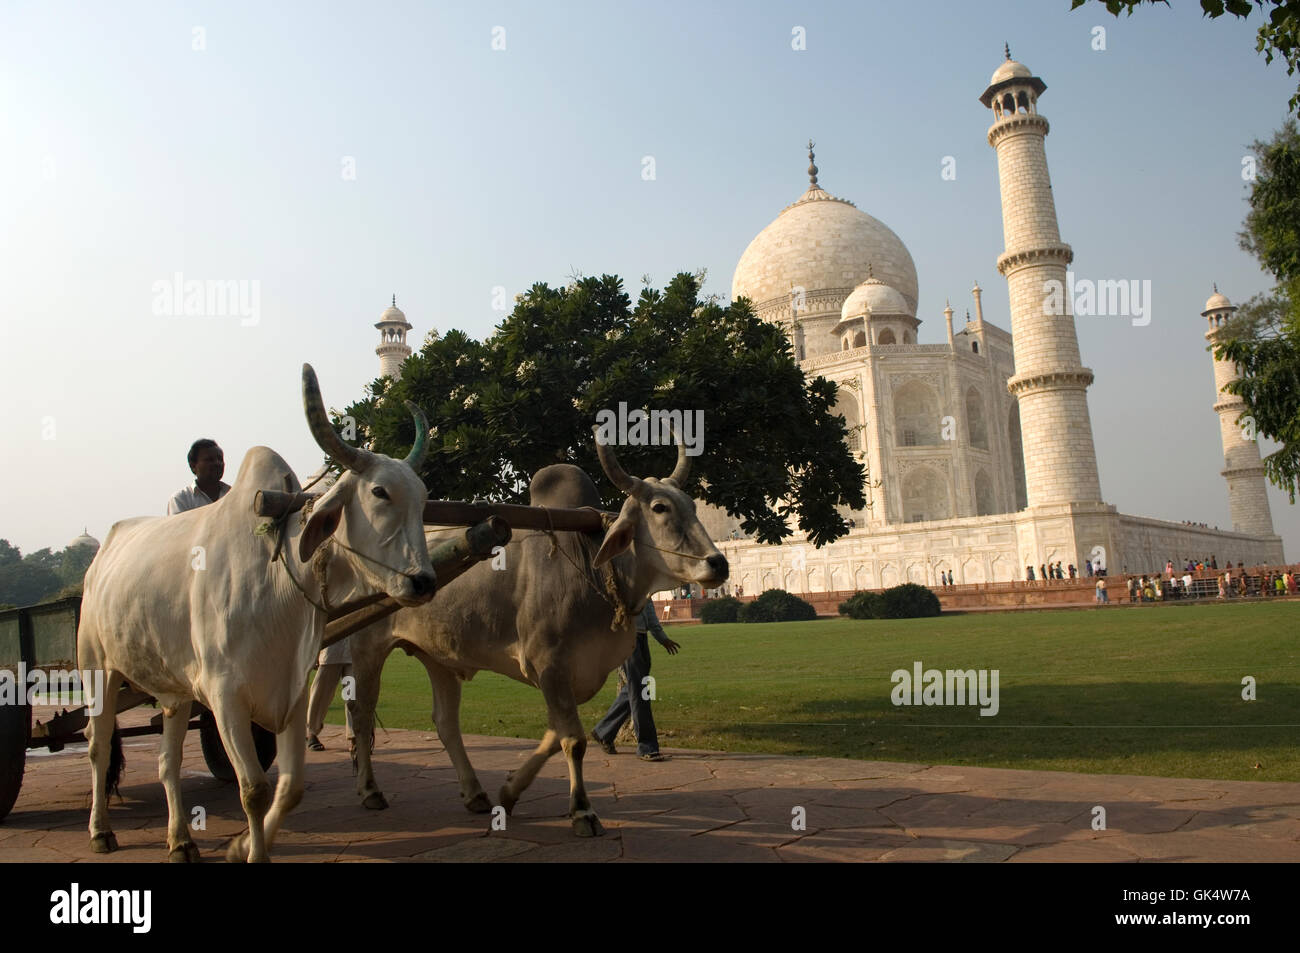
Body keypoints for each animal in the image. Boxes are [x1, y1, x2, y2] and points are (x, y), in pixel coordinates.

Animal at [77, 364, 437, 862]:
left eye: (423, 497)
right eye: (379, 492)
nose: (424, 582)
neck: (279, 582)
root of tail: (99, 561)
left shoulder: (292, 690)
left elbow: (290, 788)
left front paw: (241, 843)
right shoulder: (225, 696)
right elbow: (254, 790)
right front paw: (253, 849)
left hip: (174, 690)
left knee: (168, 762)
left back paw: (180, 839)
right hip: (98, 670)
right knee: (97, 747)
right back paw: (100, 830)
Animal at [346, 432, 728, 836]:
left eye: (693, 505)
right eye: (659, 508)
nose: (719, 563)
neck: (593, 567)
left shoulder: (566, 674)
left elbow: (554, 735)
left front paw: (509, 792)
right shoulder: (550, 664)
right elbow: (572, 740)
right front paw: (582, 811)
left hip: (439, 658)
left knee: (446, 723)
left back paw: (475, 794)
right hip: (367, 647)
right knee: (362, 713)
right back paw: (370, 790)